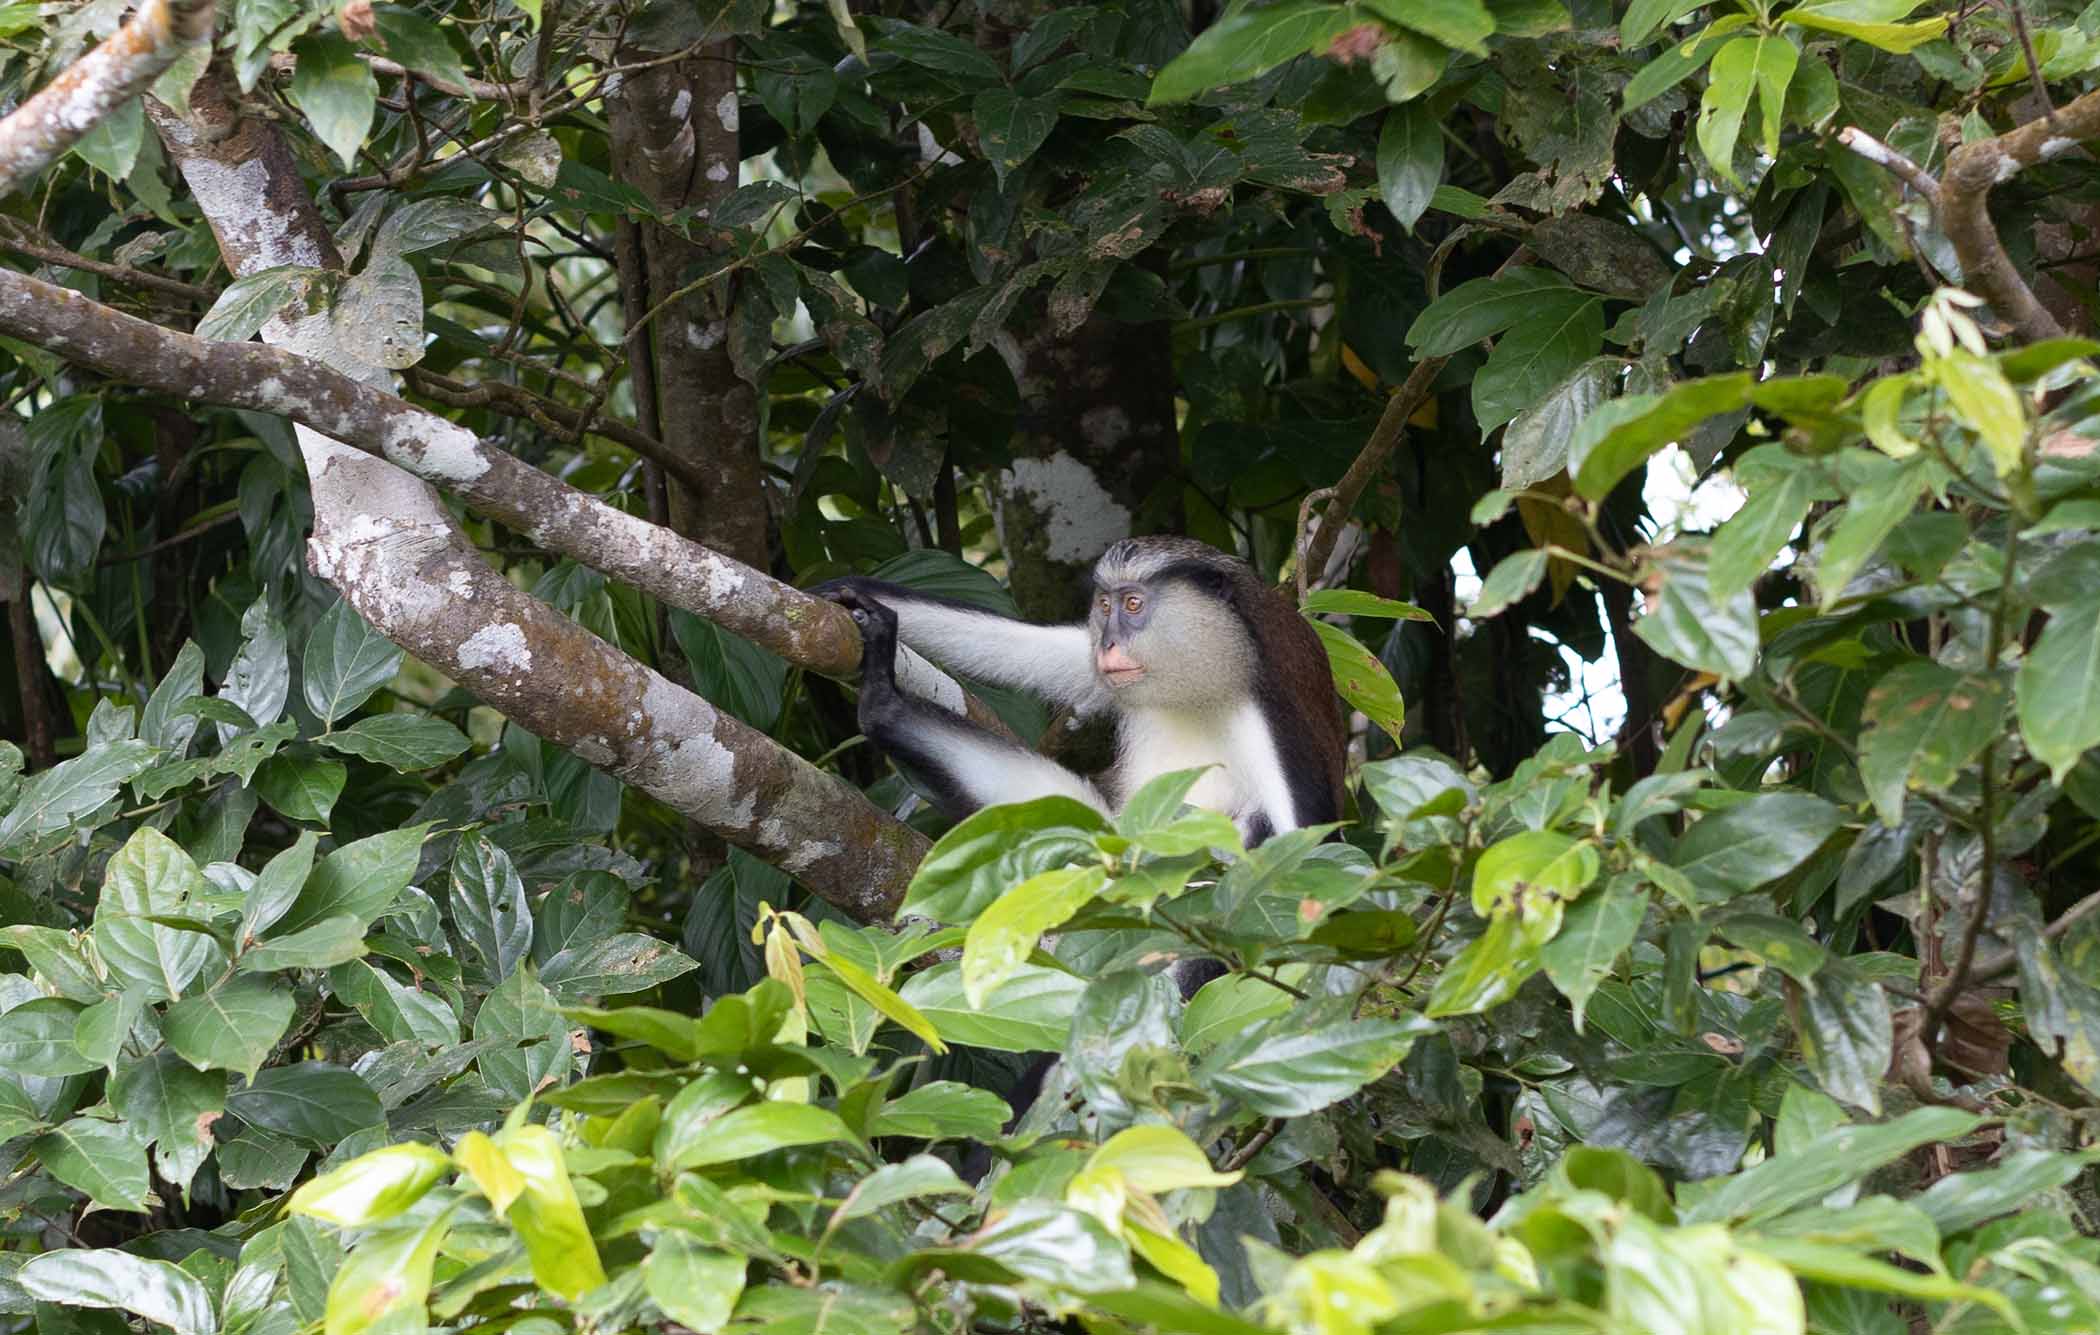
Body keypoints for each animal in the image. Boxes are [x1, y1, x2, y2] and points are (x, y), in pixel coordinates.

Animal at [816, 535, 1346, 846]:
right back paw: (883, 706)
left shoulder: (1269, 714)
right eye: (1105, 606)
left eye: (1133, 604)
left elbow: (1301, 852)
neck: (1204, 681)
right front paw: (843, 592)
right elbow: (1016, 644)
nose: (1108, 643)